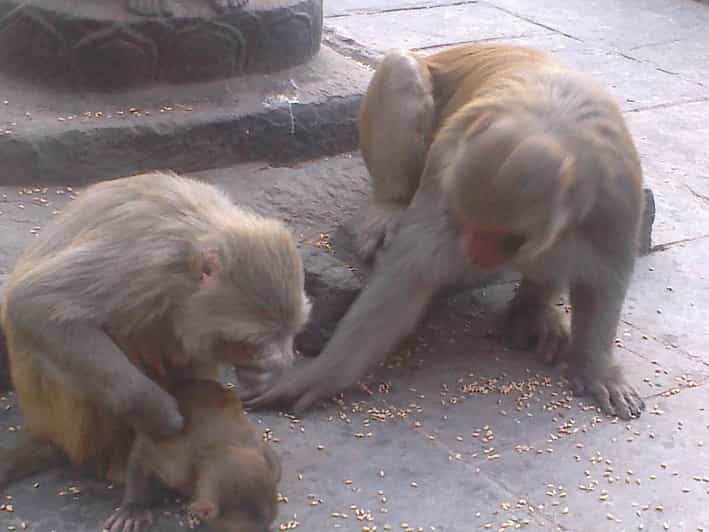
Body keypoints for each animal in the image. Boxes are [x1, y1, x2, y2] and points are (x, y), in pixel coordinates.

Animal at [0, 171, 309, 489]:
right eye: (248, 343)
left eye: (282, 337)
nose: (269, 361)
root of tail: (43, 430)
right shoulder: (142, 263)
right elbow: (36, 301)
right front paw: (161, 415)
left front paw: (262, 376)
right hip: (68, 428)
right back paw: (114, 460)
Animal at [247, 43, 647, 420]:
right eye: (463, 222)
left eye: (509, 239)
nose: (475, 256)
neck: (551, 122)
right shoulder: (448, 163)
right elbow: (411, 273)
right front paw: (321, 375)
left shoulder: (619, 193)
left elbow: (604, 277)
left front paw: (595, 369)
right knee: (401, 69)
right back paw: (390, 208)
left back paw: (533, 310)